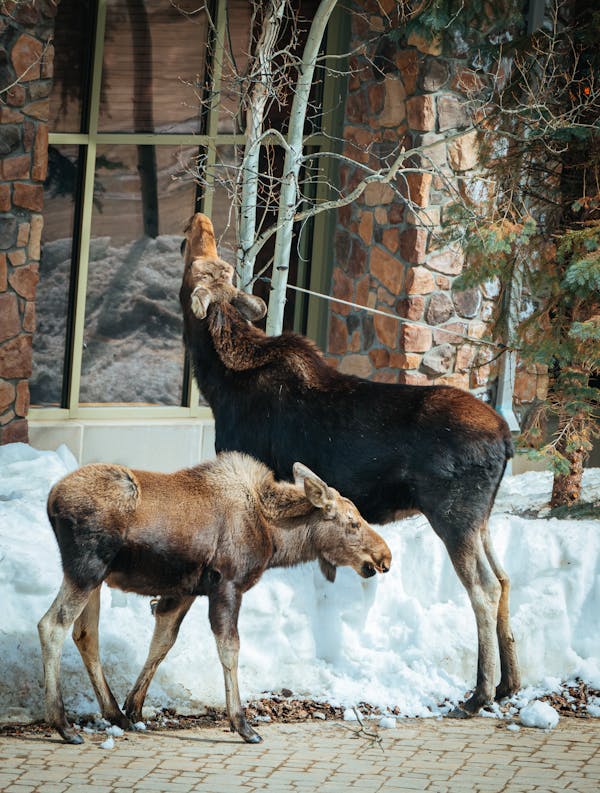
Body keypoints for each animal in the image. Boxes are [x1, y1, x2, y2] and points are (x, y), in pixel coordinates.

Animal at [38, 452, 391, 745]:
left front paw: (134, 708)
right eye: (352, 523)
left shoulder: (185, 591)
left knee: (85, 634)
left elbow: (162, 643)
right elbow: (229, 648)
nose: (384, 556)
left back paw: (113, 713)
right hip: (86, 569)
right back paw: (63, 725)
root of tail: (51, 500)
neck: (274, 537)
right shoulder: (227, 584)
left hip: (95, 578)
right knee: (51, 625)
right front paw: (242, 724)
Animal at [179, 212, 521, 718]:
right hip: (482, 518)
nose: (198, 218)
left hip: (454, 515)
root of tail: (507, 439)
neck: (218, 381)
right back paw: (510, 684)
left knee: (484, 588)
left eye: (194, 263)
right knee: (504, 577)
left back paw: (479, 693)